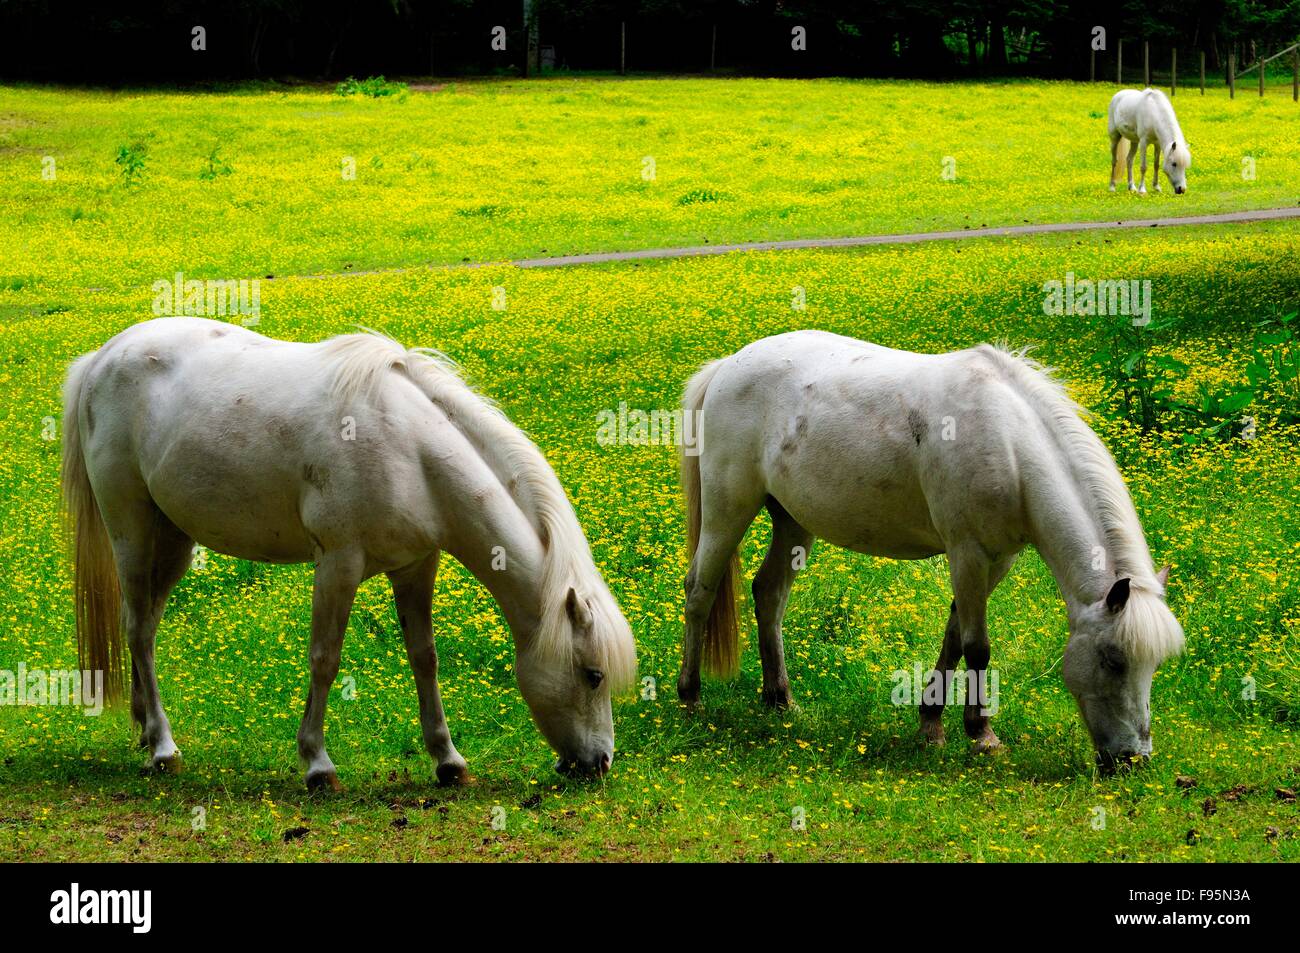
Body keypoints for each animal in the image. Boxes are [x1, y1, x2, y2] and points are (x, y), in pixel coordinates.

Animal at [62, 317, 636, 788]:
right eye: (593, 674)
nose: (601, 763)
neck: (411, 451)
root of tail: (102, 357)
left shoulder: (415, 567)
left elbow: (424, 657)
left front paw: (447, 760)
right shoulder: (338, 565)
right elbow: (325, 659)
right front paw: (317, 764)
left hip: (173, 541)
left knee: (145, 625)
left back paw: (143, 727)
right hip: (131, 532)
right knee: (139, 629)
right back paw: (162, 747)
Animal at [676, 330, 1184, 773]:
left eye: (1155, 665)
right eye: (1114, 660)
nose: (1133, 760)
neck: (1009, 443)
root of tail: (727, 367)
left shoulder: (998, 560)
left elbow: (953, 638)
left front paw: (931, 724)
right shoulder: (967, 553)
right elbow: (977, 647)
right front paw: (982, 736)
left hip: (792, 520)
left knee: (770, 594)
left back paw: (780, 700)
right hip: (728, 511)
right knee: (699, 591)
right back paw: (690, 698)